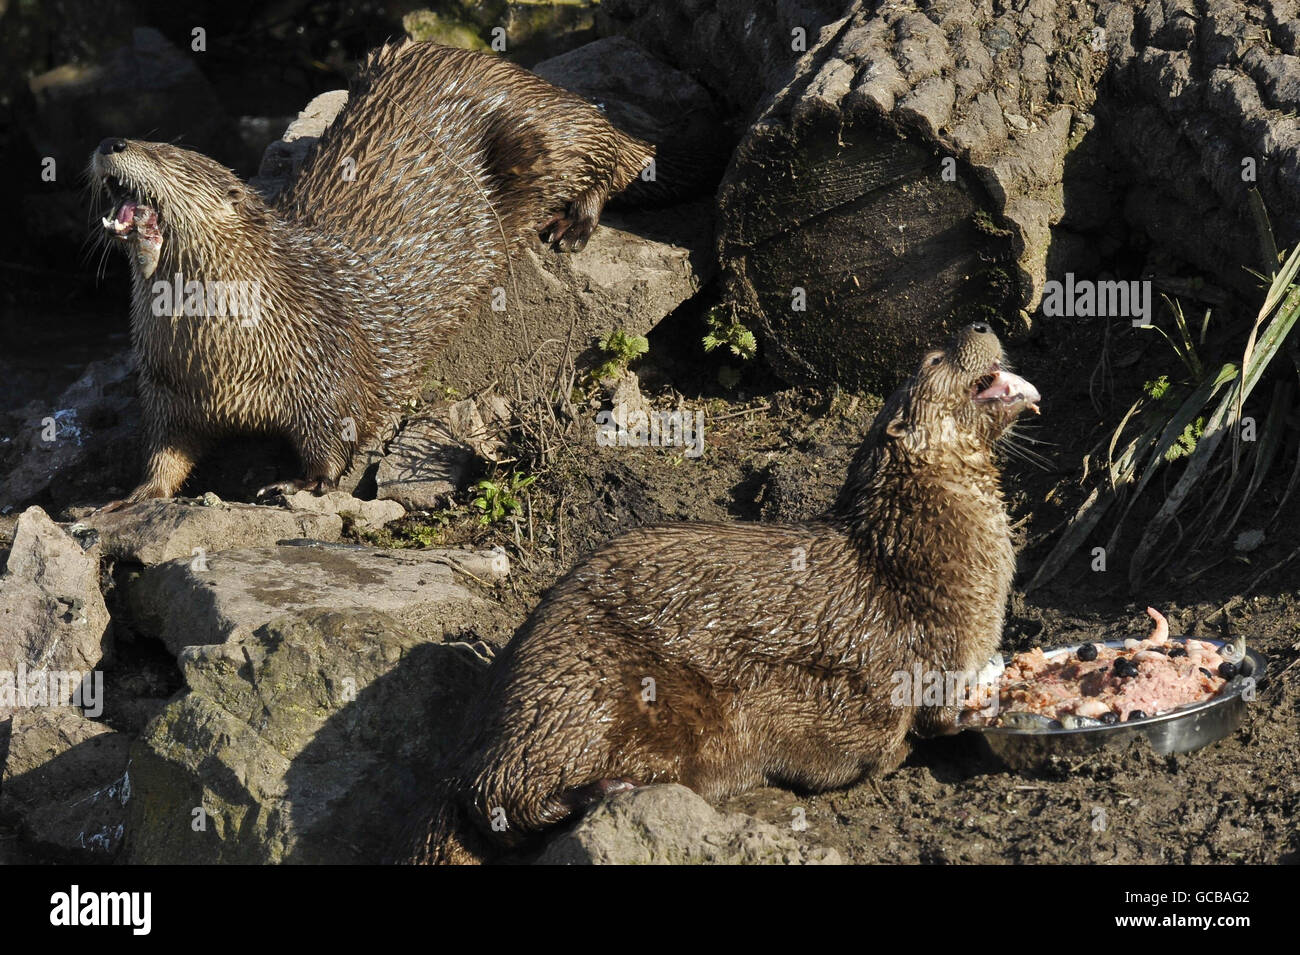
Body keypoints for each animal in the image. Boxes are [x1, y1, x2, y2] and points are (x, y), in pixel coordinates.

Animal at [90, 40, 653, 502]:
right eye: (139, 140)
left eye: (167, 154)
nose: (110, 142)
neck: (223, 355)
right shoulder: (164, 388)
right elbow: (166, 448)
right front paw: (136, 496)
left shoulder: (326, 366)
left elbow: (335, 432)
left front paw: (301, 482)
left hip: (543, 135)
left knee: (613, 153)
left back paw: (573, 225)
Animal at [406, 323, 1041, 864]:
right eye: (935, 357)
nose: (980, 325)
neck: (919, 550)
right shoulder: (935, 645)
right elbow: (928, 719)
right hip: (575, 691)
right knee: (499, 797)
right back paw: (607, 787)